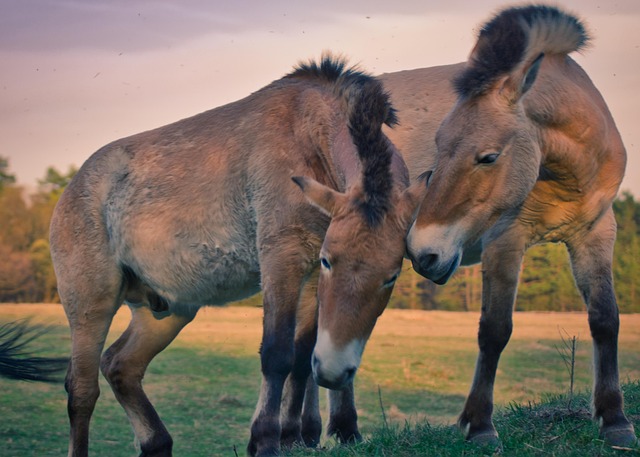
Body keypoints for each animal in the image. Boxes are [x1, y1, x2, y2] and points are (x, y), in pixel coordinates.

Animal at [49, 55, 426, 457]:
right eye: (330, 262)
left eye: (391, 276)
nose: (334, 372)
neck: (309, 134)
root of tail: (73, 186)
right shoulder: (283, 260)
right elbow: (278, 355)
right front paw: (265, 439)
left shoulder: (308, 279)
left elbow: (301, 358)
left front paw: (292, 437)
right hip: (91, 307)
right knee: (82, 390)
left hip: (167, 313)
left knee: (120, 366)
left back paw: (156, 442)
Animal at [382, 4, 635, 447]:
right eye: (439, 146)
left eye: (488, 157)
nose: (421, 250)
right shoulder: (505, 241)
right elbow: (495, 330)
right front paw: (480, 425)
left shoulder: (597, 233)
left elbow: (605, 319)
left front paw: (615, 419)